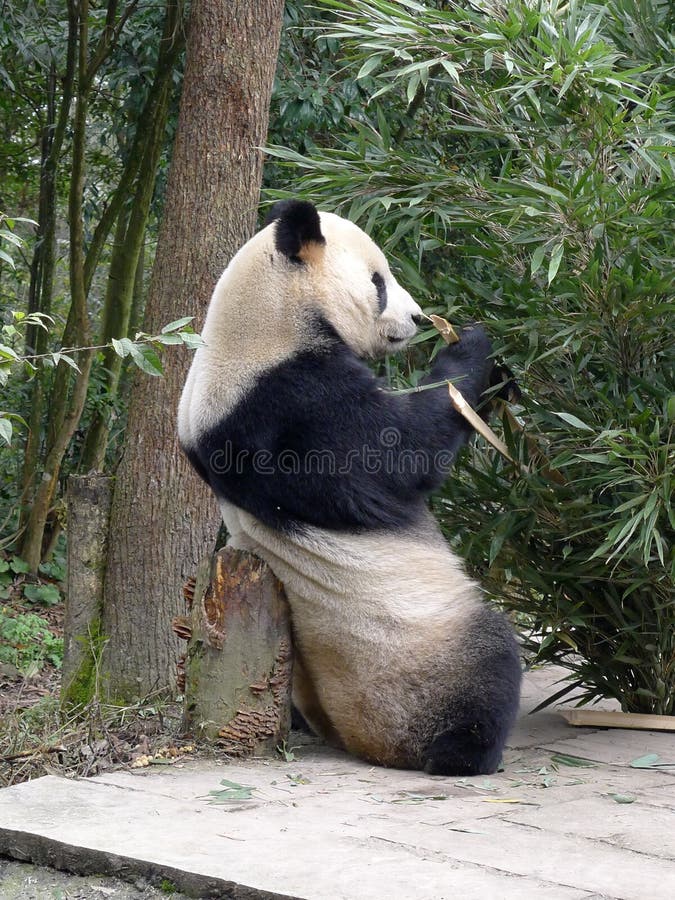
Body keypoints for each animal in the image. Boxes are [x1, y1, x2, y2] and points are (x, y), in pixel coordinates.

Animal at [178, 199, 521, 776]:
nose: (417, 318)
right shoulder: (290, 401)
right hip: (407, 654)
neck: (263, 321)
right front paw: (473, 347)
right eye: (378, 282)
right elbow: (399, 450)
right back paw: (461, 751)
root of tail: (356, 739)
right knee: (489, 662)